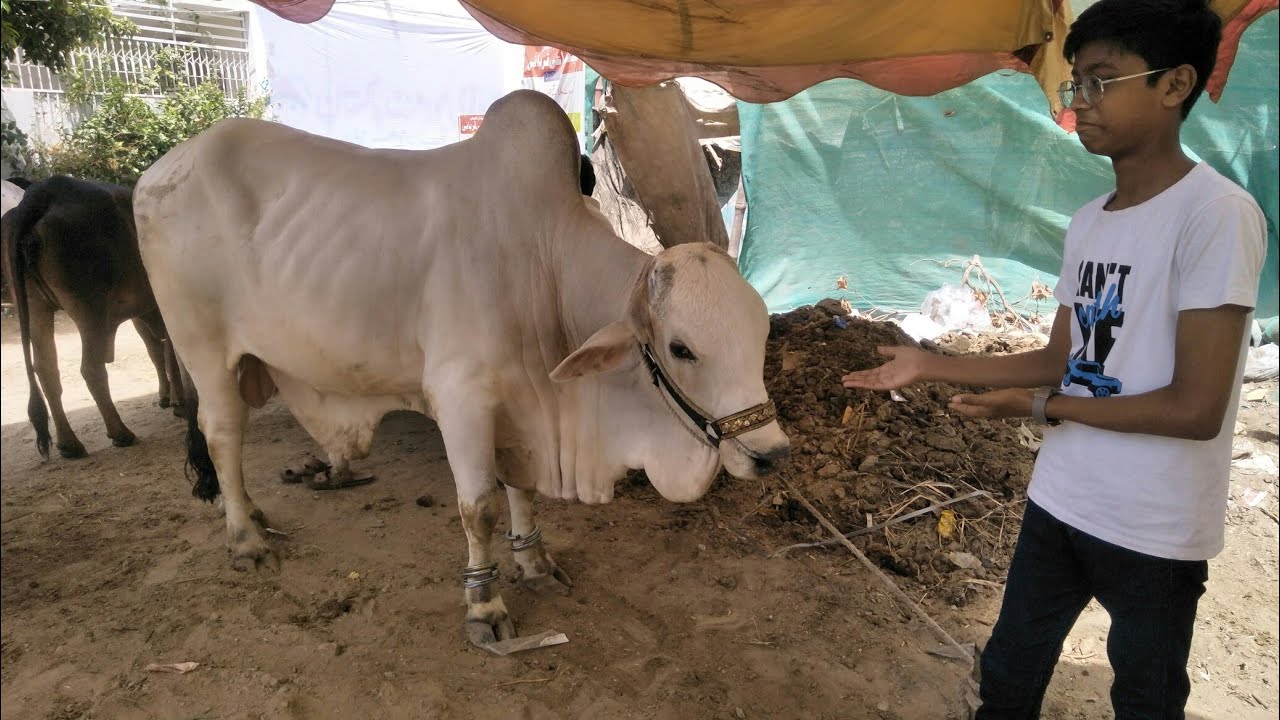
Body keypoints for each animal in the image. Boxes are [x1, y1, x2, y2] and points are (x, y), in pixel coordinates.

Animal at [2, 175, 185, 460]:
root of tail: (42, 192)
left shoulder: (144, 312)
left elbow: (157, 351)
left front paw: (167, 397)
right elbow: (169, 353)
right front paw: (179, 402)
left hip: (36, 307)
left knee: (46, 369)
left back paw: (69, 444)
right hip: (90, 307)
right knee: (90, 367)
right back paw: (120, 432)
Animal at [133, 89, 790, 646]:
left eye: (761, 333)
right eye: (682, 349)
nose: (773, 454)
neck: (541, 264)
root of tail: (155, 172)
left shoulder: (525, 403)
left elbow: (521, 490)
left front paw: (534, 562)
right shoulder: (461, 398)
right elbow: (479, 507)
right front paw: (484, 605)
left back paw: (253, 514)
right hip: (204, 351)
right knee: (223, 436)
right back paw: (245, 539)